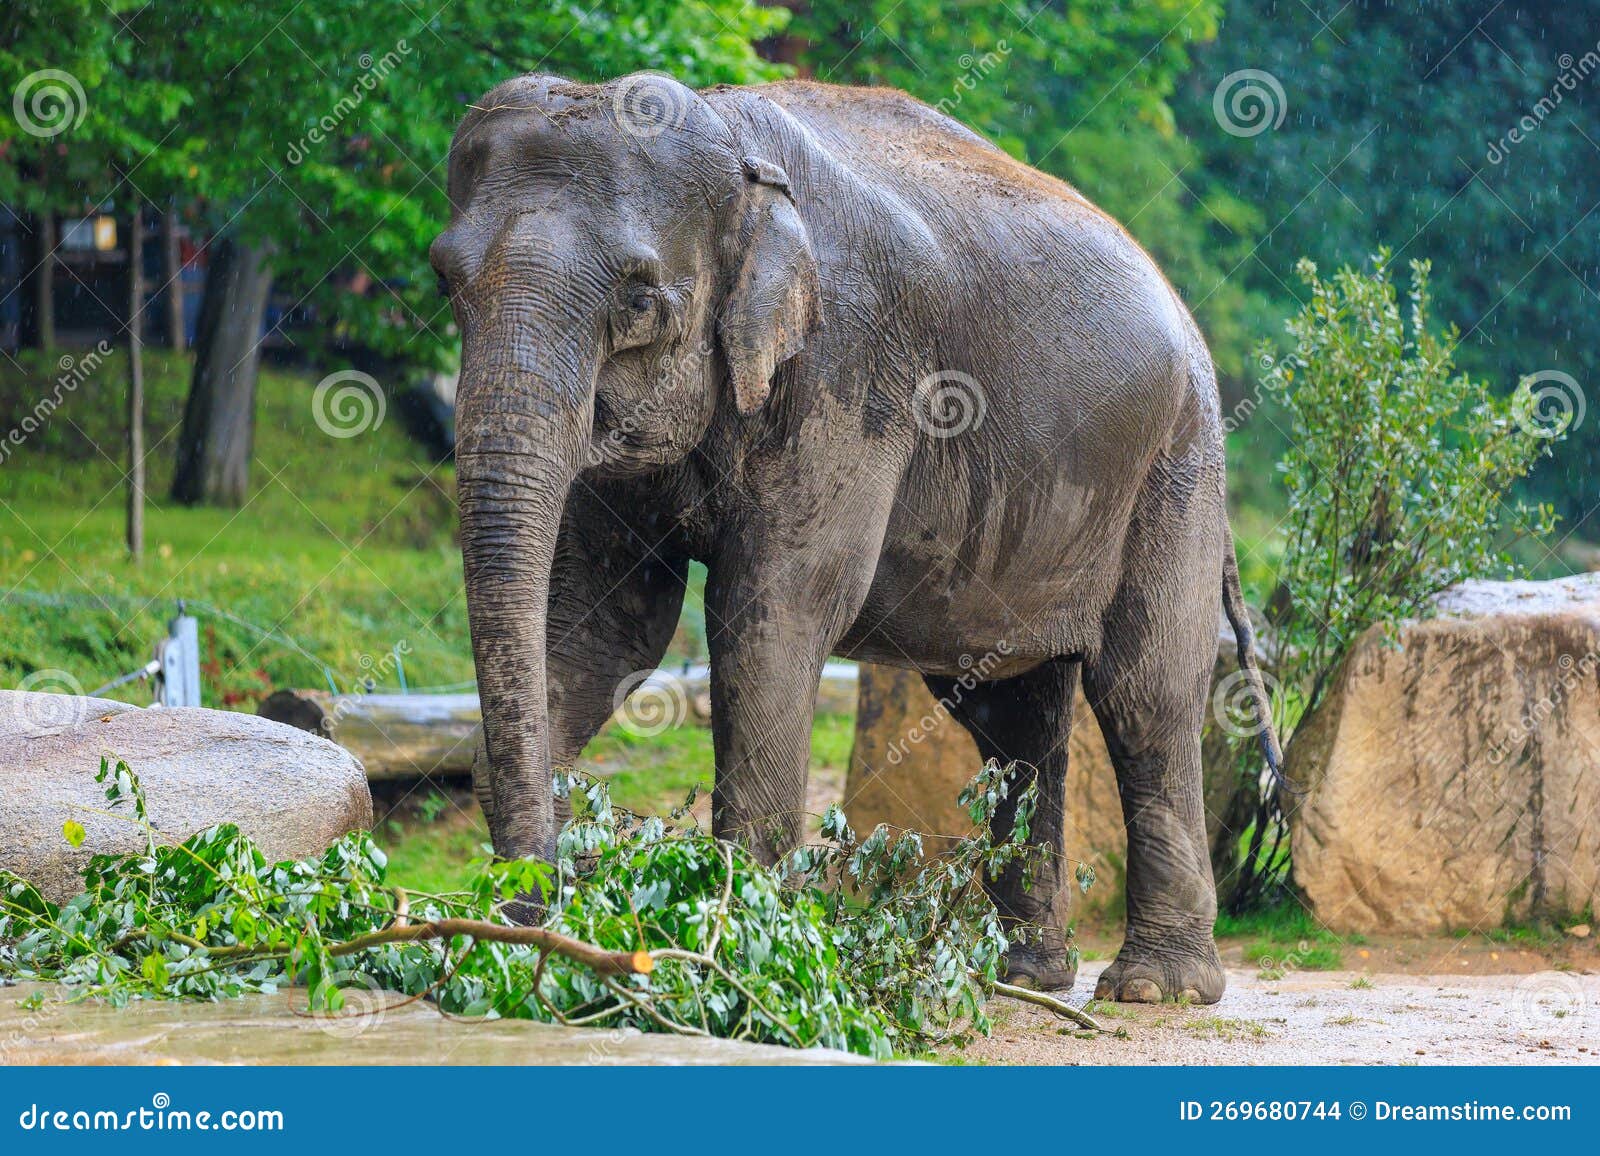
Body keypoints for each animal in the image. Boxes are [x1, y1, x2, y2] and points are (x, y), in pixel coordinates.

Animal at [431, 71, 1281, 1003]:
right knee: (1009, 714)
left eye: (639, 300)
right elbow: (606, 625)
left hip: (1177, 466)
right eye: (445, 281)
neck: (736, 151)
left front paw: (743, 965)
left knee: (1144, 698)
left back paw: (1156, 988)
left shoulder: (853, 371)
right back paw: (1023, 974)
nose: (526, 921)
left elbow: (774, 610)